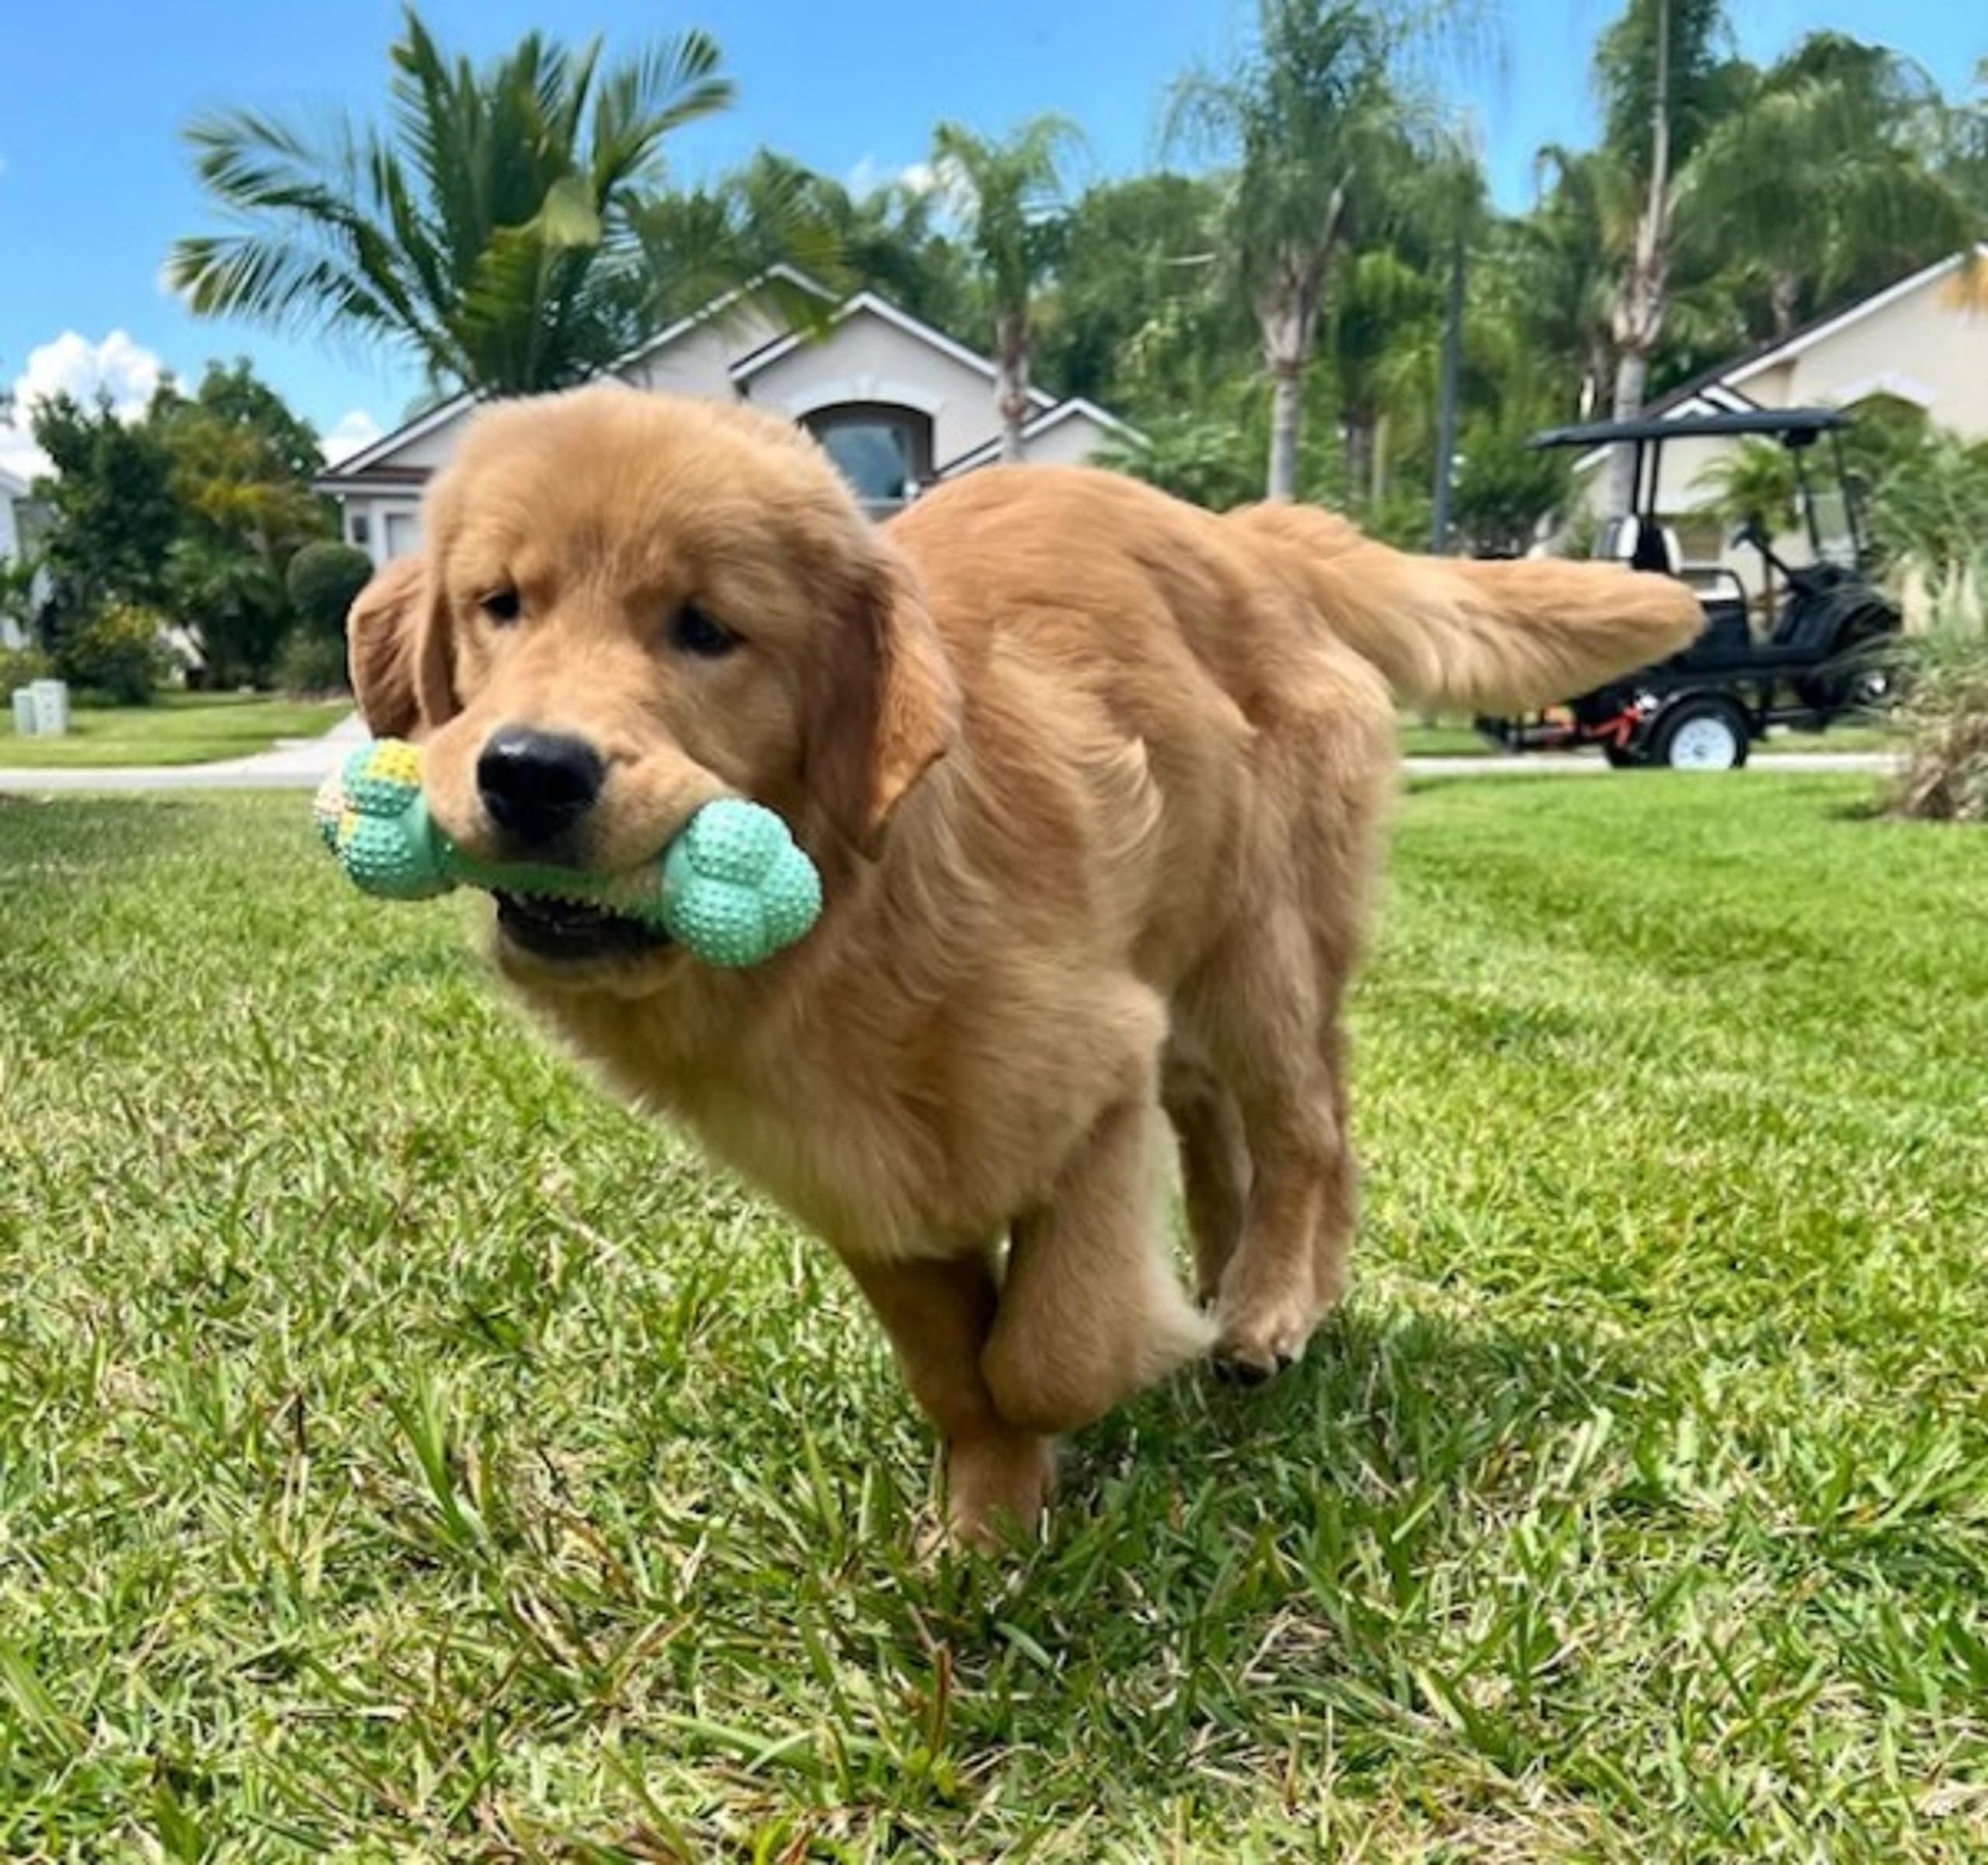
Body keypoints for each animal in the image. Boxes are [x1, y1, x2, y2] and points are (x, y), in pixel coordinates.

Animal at [346, 381, 1694, 1543]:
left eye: (706, 630)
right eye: (499, 603)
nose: (531, 770)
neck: (847, 923)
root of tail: (1248, 535)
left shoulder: (1096, 1078)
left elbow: (1045, 1354)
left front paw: (1109, 1385)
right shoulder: (863, 1188)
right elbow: (958, 1372)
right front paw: (987, 1529)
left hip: (1254, 938)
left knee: (1308, 1128)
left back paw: (1270, 1304)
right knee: (1229, 1130)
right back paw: (1237, 1272)